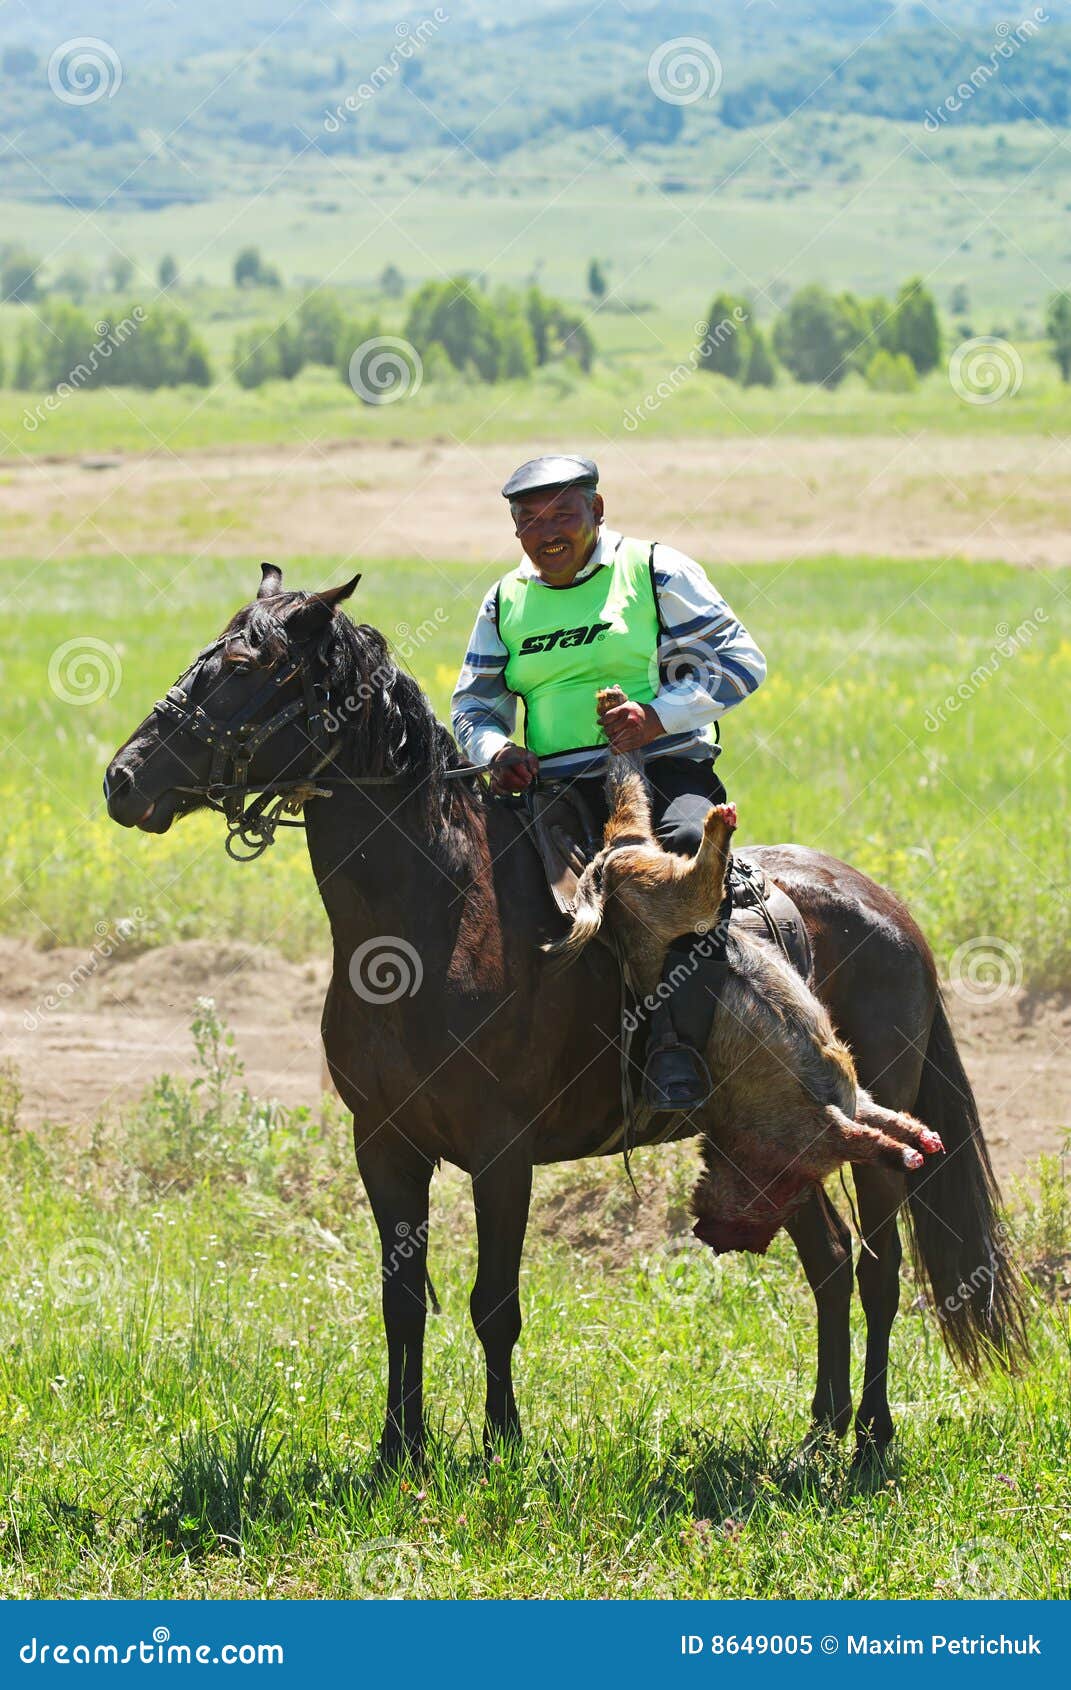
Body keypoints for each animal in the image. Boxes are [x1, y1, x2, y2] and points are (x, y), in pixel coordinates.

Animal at [103, 567, 1027, 1467]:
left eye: (244, 666)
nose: (123, 779)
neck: (436, 919)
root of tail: (890, 910)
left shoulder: (500, 1152)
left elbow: (493, 1302)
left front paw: (502, 1444)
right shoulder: (384, 1145)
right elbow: (402, 1300)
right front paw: (399, 1448)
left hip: (864, 1127)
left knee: (878, 1271)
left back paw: (871, 1438)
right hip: (776, 1136)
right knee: (831, 1264)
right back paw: (819, 1431)